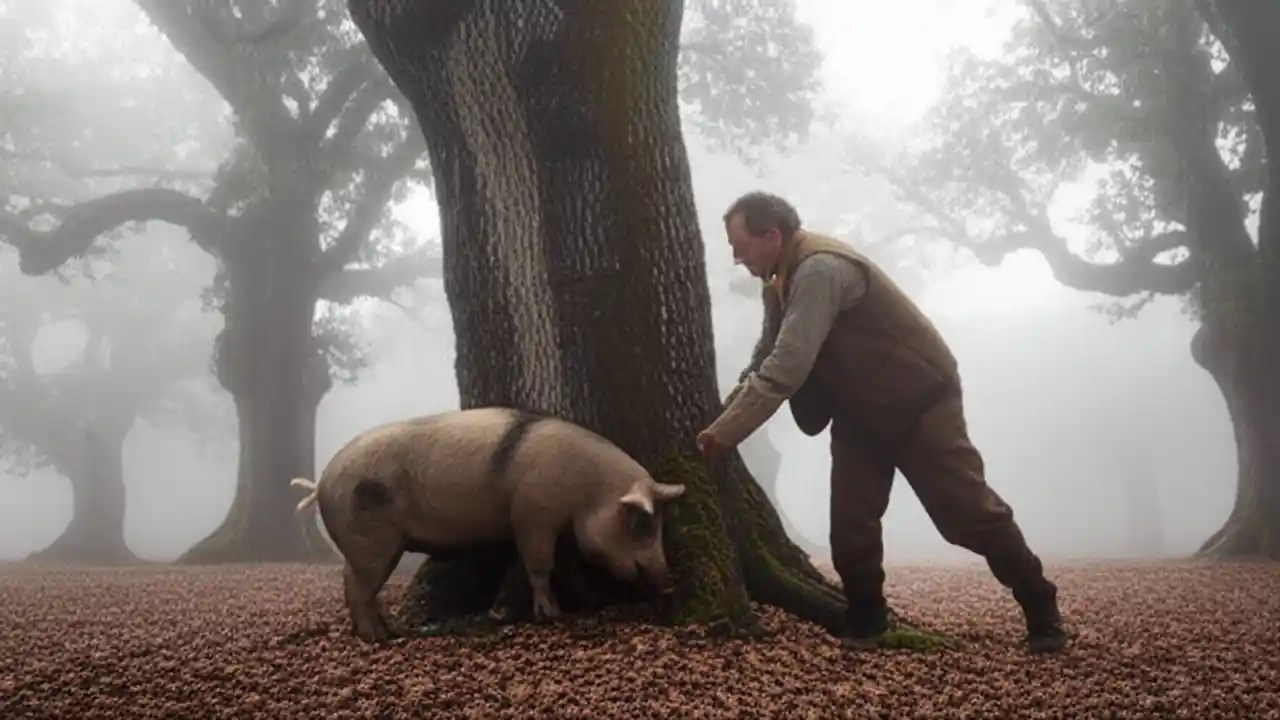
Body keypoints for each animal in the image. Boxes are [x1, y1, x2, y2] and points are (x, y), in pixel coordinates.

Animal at [290, 406, 686, 643]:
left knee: (361, 587)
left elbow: (568, 566)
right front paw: (550, 615)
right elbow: (539, 564)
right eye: (641, 524)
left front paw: (590, 601)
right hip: (369, 542)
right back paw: (377, 637)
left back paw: (389, 628)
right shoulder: (530, 516)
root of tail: (320, 484)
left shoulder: (561, 528)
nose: (669, 583)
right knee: (355, 586)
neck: (585, 490)